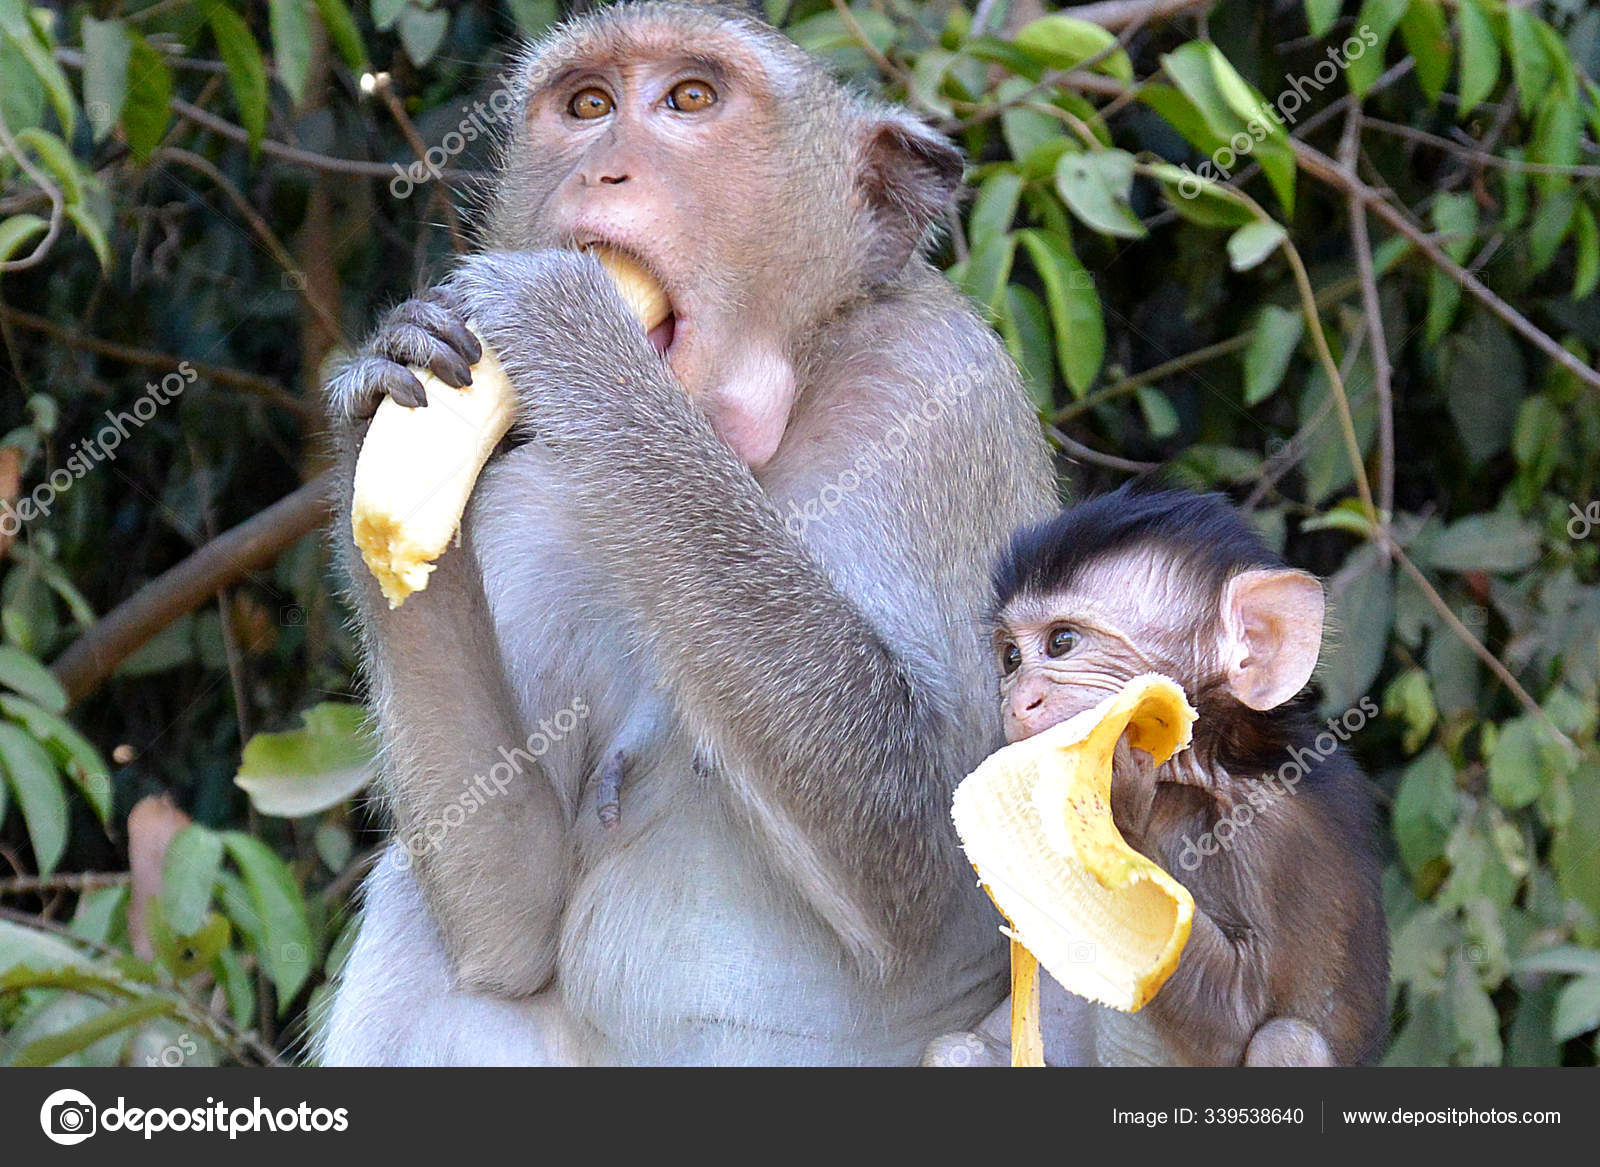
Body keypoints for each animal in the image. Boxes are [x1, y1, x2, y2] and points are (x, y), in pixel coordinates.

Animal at [316, 2, 1057, 1065]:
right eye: (588, 106)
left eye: (691, 99)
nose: (603, 172)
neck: (743, 439)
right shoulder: (526, 505)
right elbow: (512, 932)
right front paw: (380, 393)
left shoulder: (936, 392)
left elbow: (928, 838)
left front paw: (574, 325)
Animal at [923, 487, 1389, 1067]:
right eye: (1011, 658)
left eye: (1061, 642)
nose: (1017, 701)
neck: (1199, 773)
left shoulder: (1276, 838)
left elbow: (1235, 1020)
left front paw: (1117, 804)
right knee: (954, 1050)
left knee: (1286, 1040)